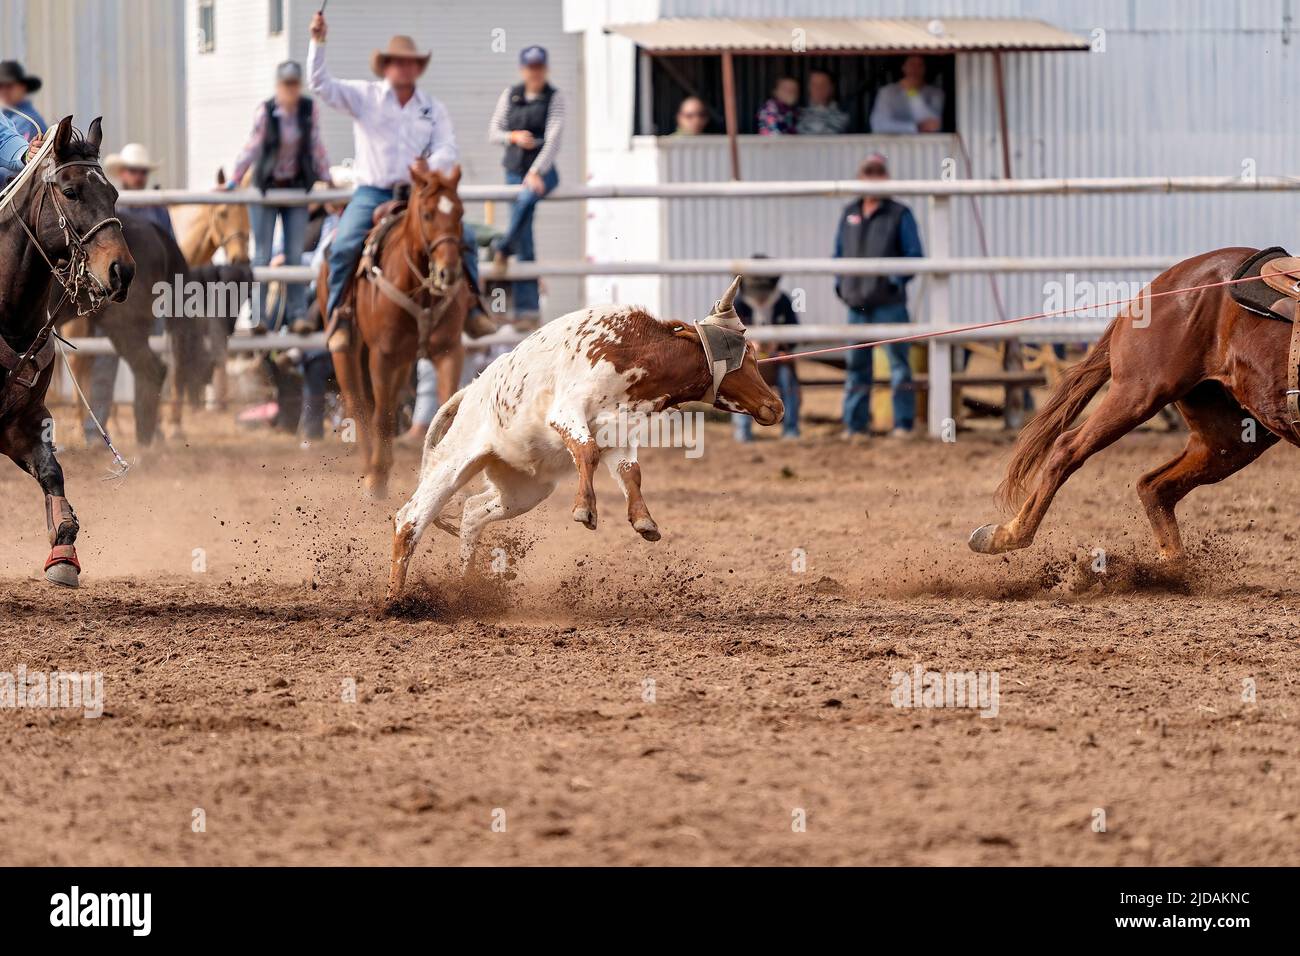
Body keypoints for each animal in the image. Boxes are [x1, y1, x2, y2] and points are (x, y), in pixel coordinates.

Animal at [386, 277, 784, 598]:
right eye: (746, 356)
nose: (776, 406)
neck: (634, 351)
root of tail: (470, 390)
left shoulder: (620, 433)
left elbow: (630, 472)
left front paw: (643, 521)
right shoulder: (567, 411)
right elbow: (586, 449)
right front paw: (585, 509)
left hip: (524, 489)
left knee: (471, 512)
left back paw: (467, 587)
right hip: (455, 462)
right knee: (410, 519)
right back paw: (396, 600)